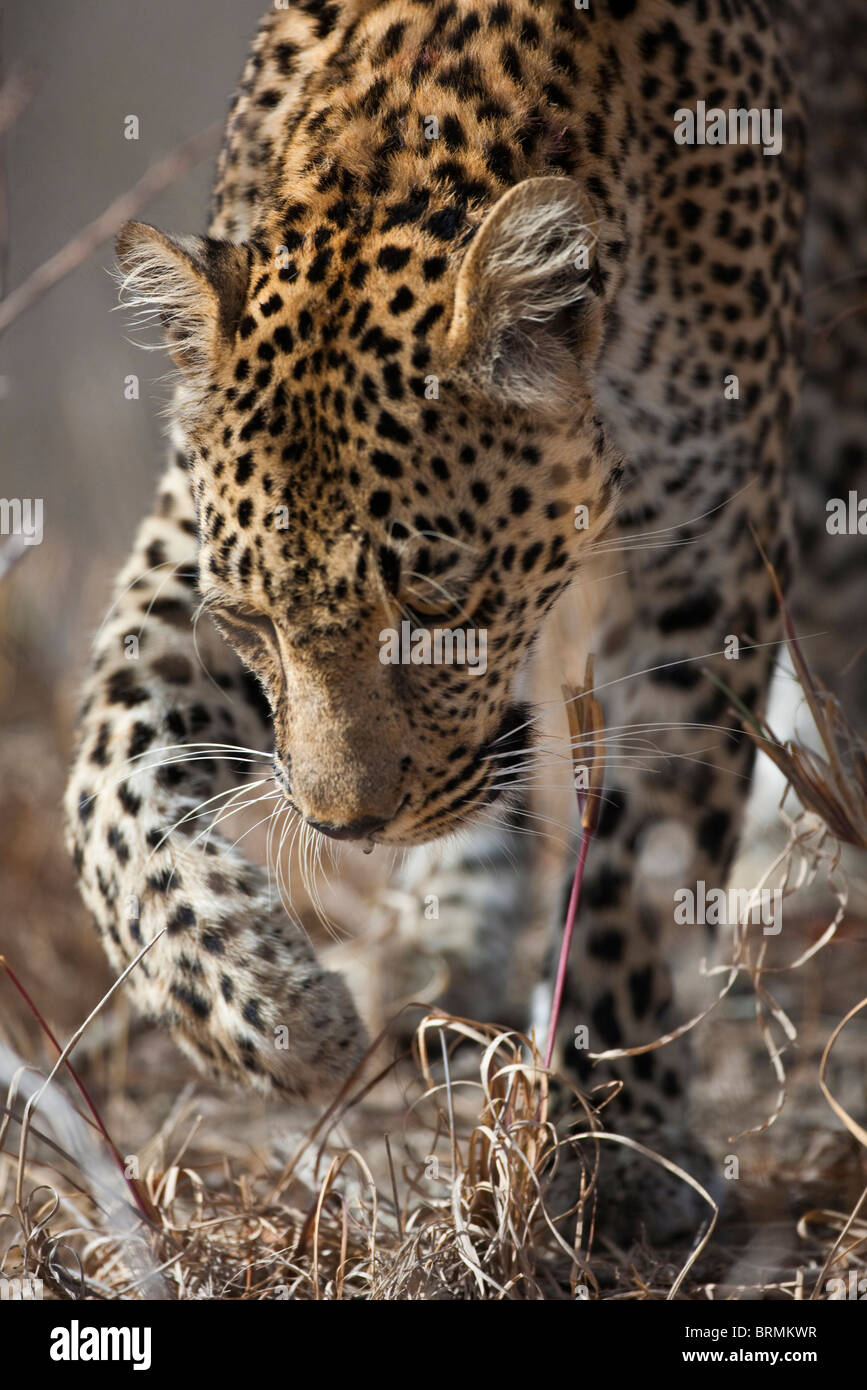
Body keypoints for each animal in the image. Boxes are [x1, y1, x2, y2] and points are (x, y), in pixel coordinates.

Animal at [64, 0, 867, 1245]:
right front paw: (270, 1013)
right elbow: (113, 762)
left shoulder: (708, 542)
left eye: (435, 602)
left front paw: (617, 1139)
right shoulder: (190, 532)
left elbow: (641, 854)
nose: (344, 828)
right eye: (250, 621)